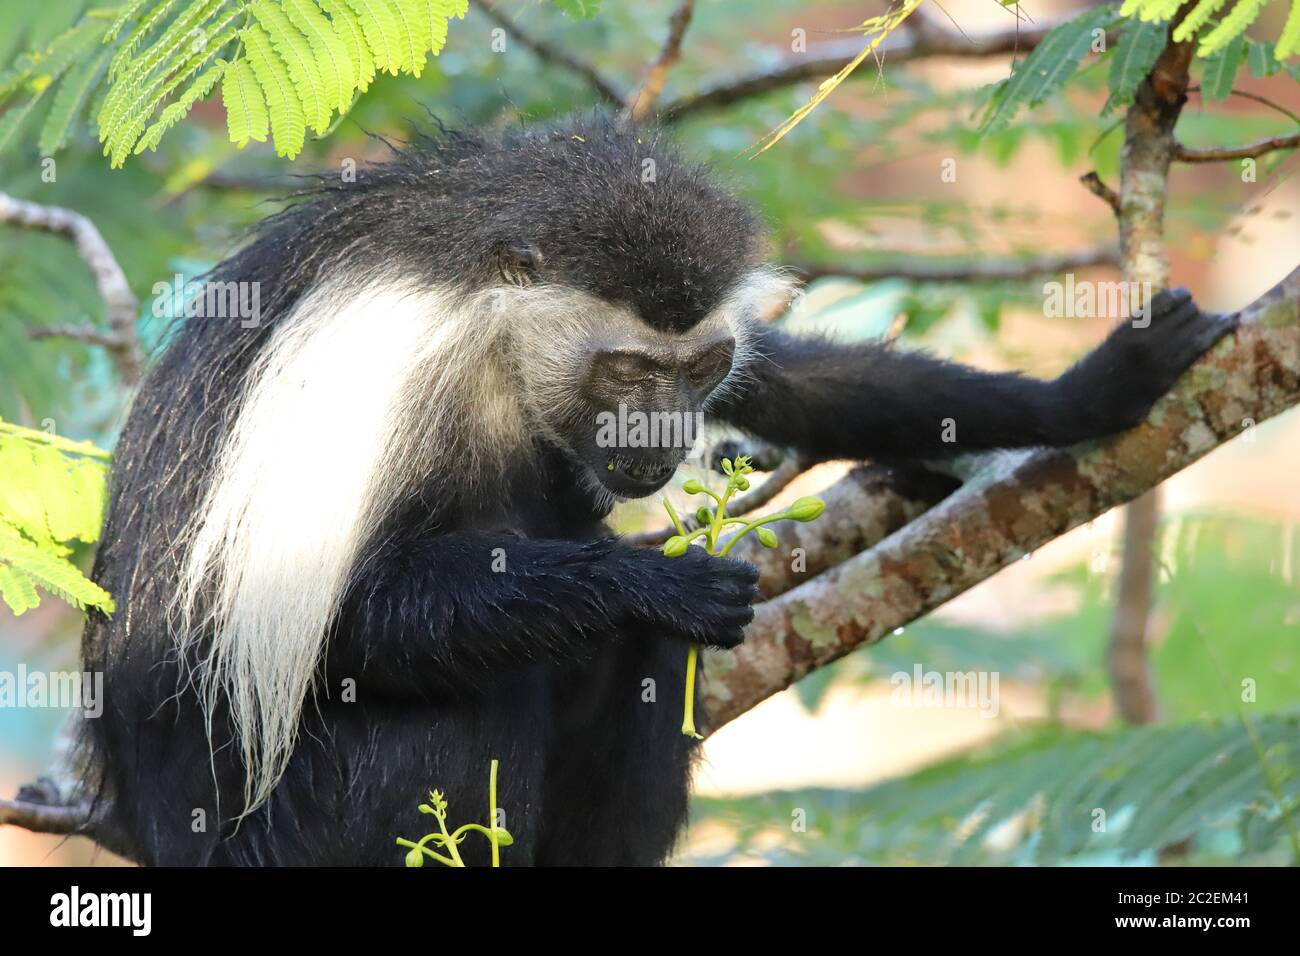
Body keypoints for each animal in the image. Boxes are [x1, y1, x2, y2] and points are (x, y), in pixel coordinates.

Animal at [78, 116, 1234, 866]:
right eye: (627, 372)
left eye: (695, 372)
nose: (665, 436)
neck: (495, 338)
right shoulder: (390, 369)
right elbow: (325, 619)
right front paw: (652, 580)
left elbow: (799, 383)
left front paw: (1091, 388)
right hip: (290, 832)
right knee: (441, 692)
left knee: (630, 664)